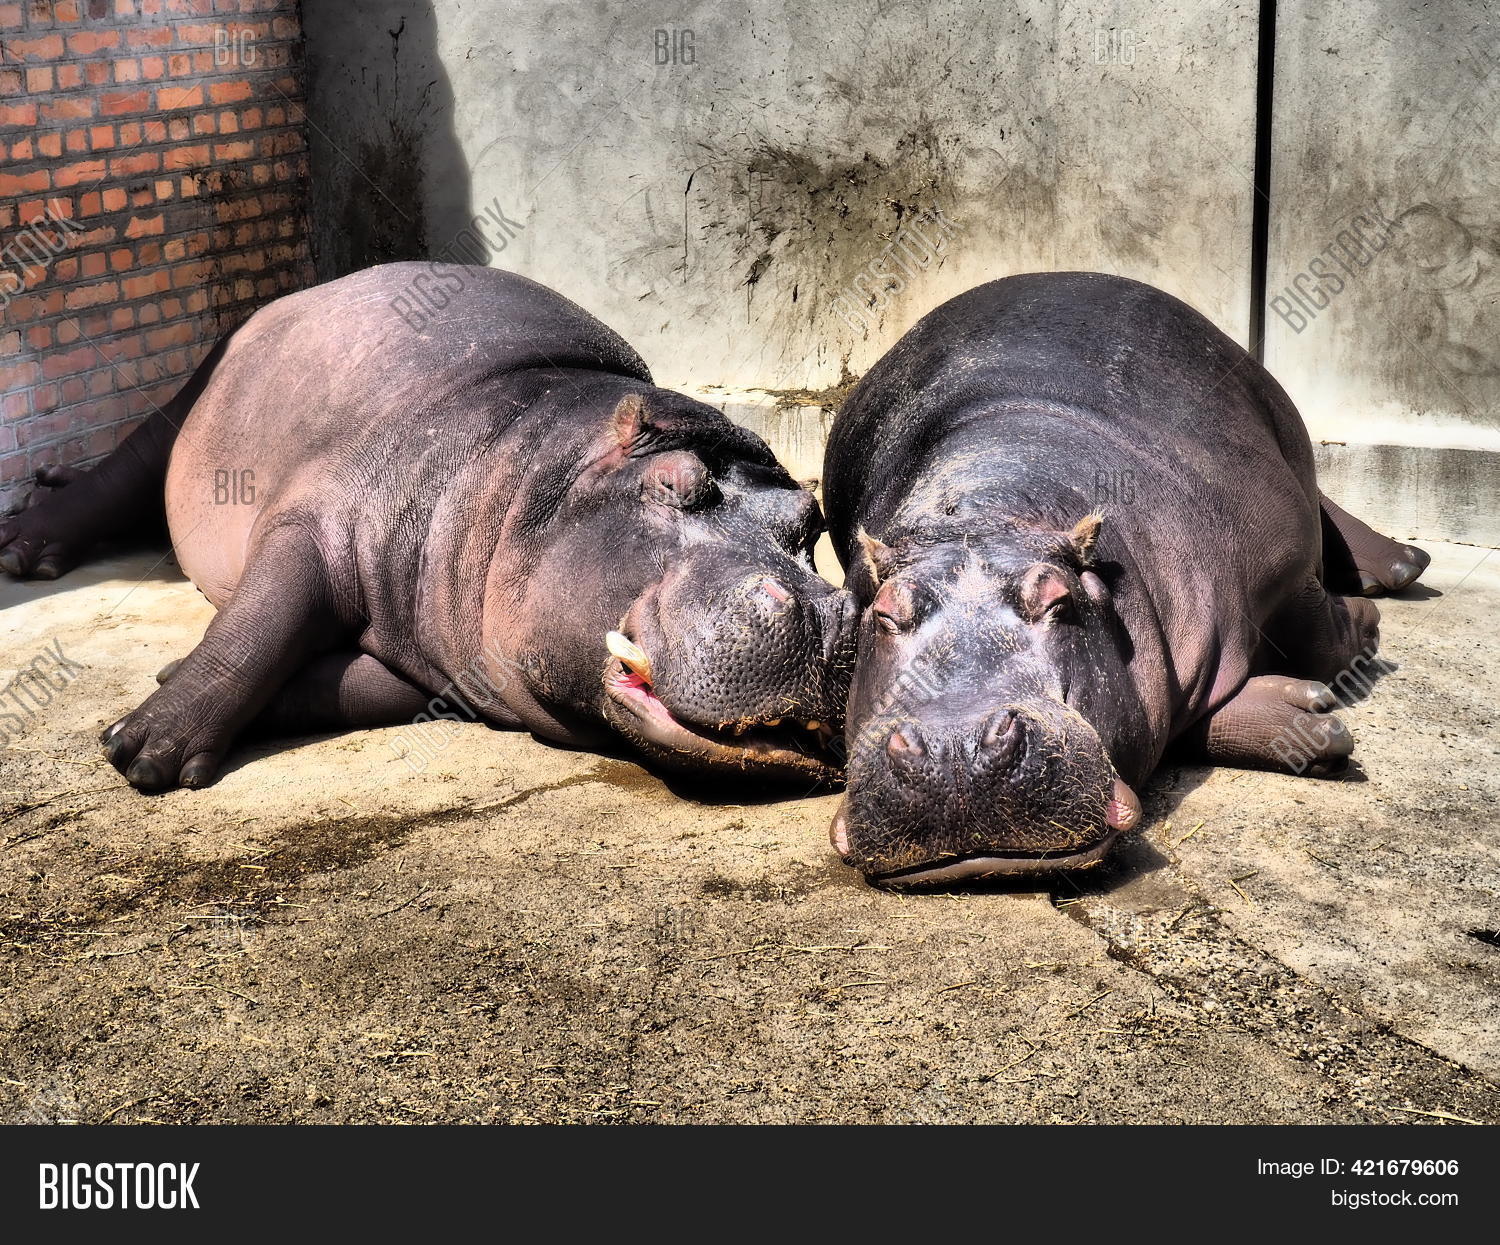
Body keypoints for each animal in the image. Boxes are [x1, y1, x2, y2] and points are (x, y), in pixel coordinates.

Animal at [0, 263, 855, 790]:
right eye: (676, 483)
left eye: (809, 520)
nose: (826, 613)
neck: (532, 464)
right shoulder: (318, 521)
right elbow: (259, 624)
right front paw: (140, 751)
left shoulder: (440, 667)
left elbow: (344, 686)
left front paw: (167, 678)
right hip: (189, 401)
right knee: (122, 471)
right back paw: (26, 548)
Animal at [823, 271, 1429, 886]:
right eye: (884, 613)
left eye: (1059, 600)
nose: (957, 747)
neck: (991, 511)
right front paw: (1312, 716)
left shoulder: (1287, 559)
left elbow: (1321, 638)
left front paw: (1366, 625)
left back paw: (1400, 567)